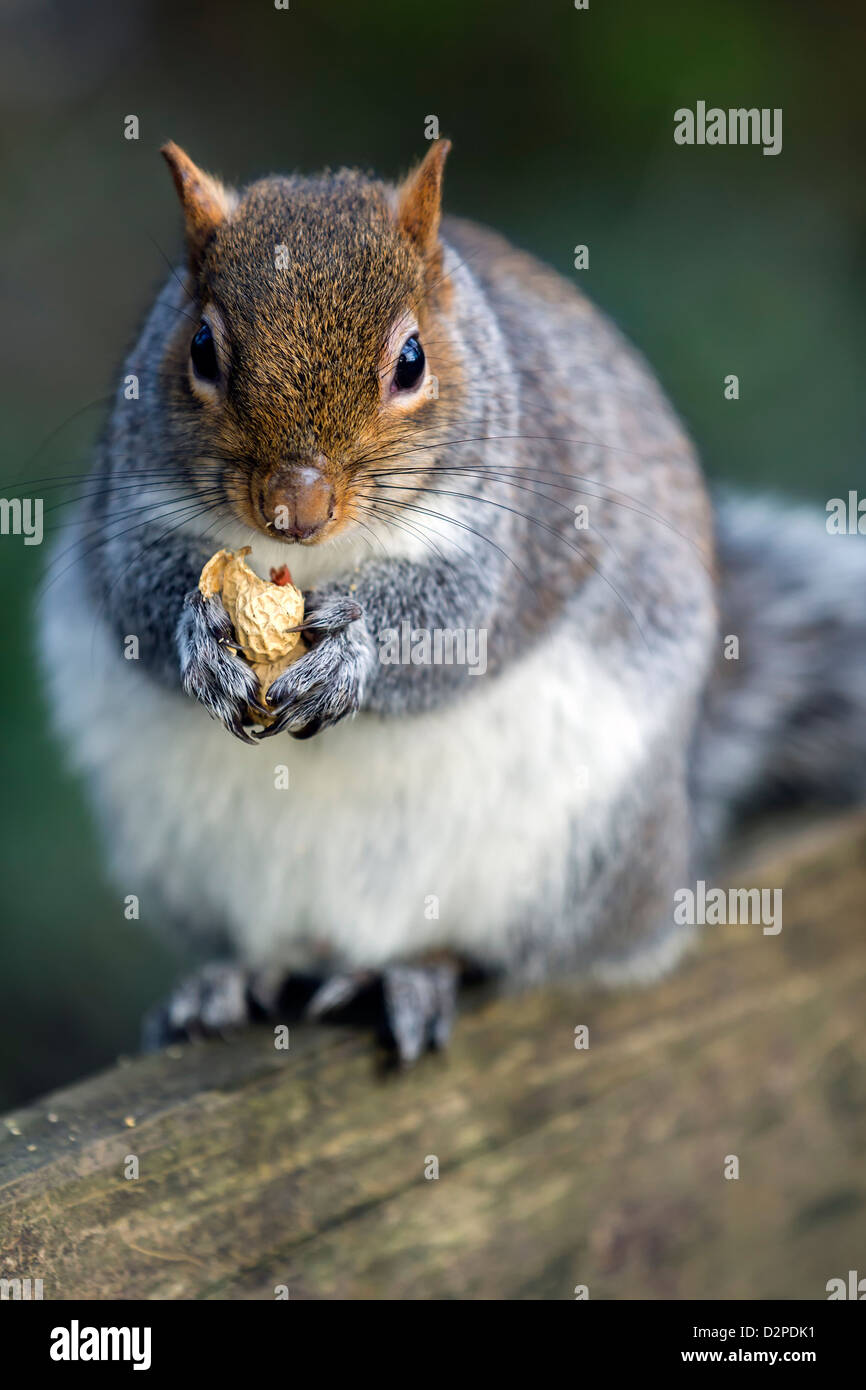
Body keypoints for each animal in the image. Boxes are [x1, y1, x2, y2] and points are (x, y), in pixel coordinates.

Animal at [40, 140, 866, 1063]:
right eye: (202, 348)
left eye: (411, 361)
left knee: (509, 955)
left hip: (578, 857)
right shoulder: (129, 505)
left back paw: (412, 972)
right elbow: (133, 594)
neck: (317, 562)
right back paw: (236, 976)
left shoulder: (517, 530)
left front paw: (351, 650)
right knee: (278, 944)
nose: (296, 507)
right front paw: (201, 637)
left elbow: (457, 624)